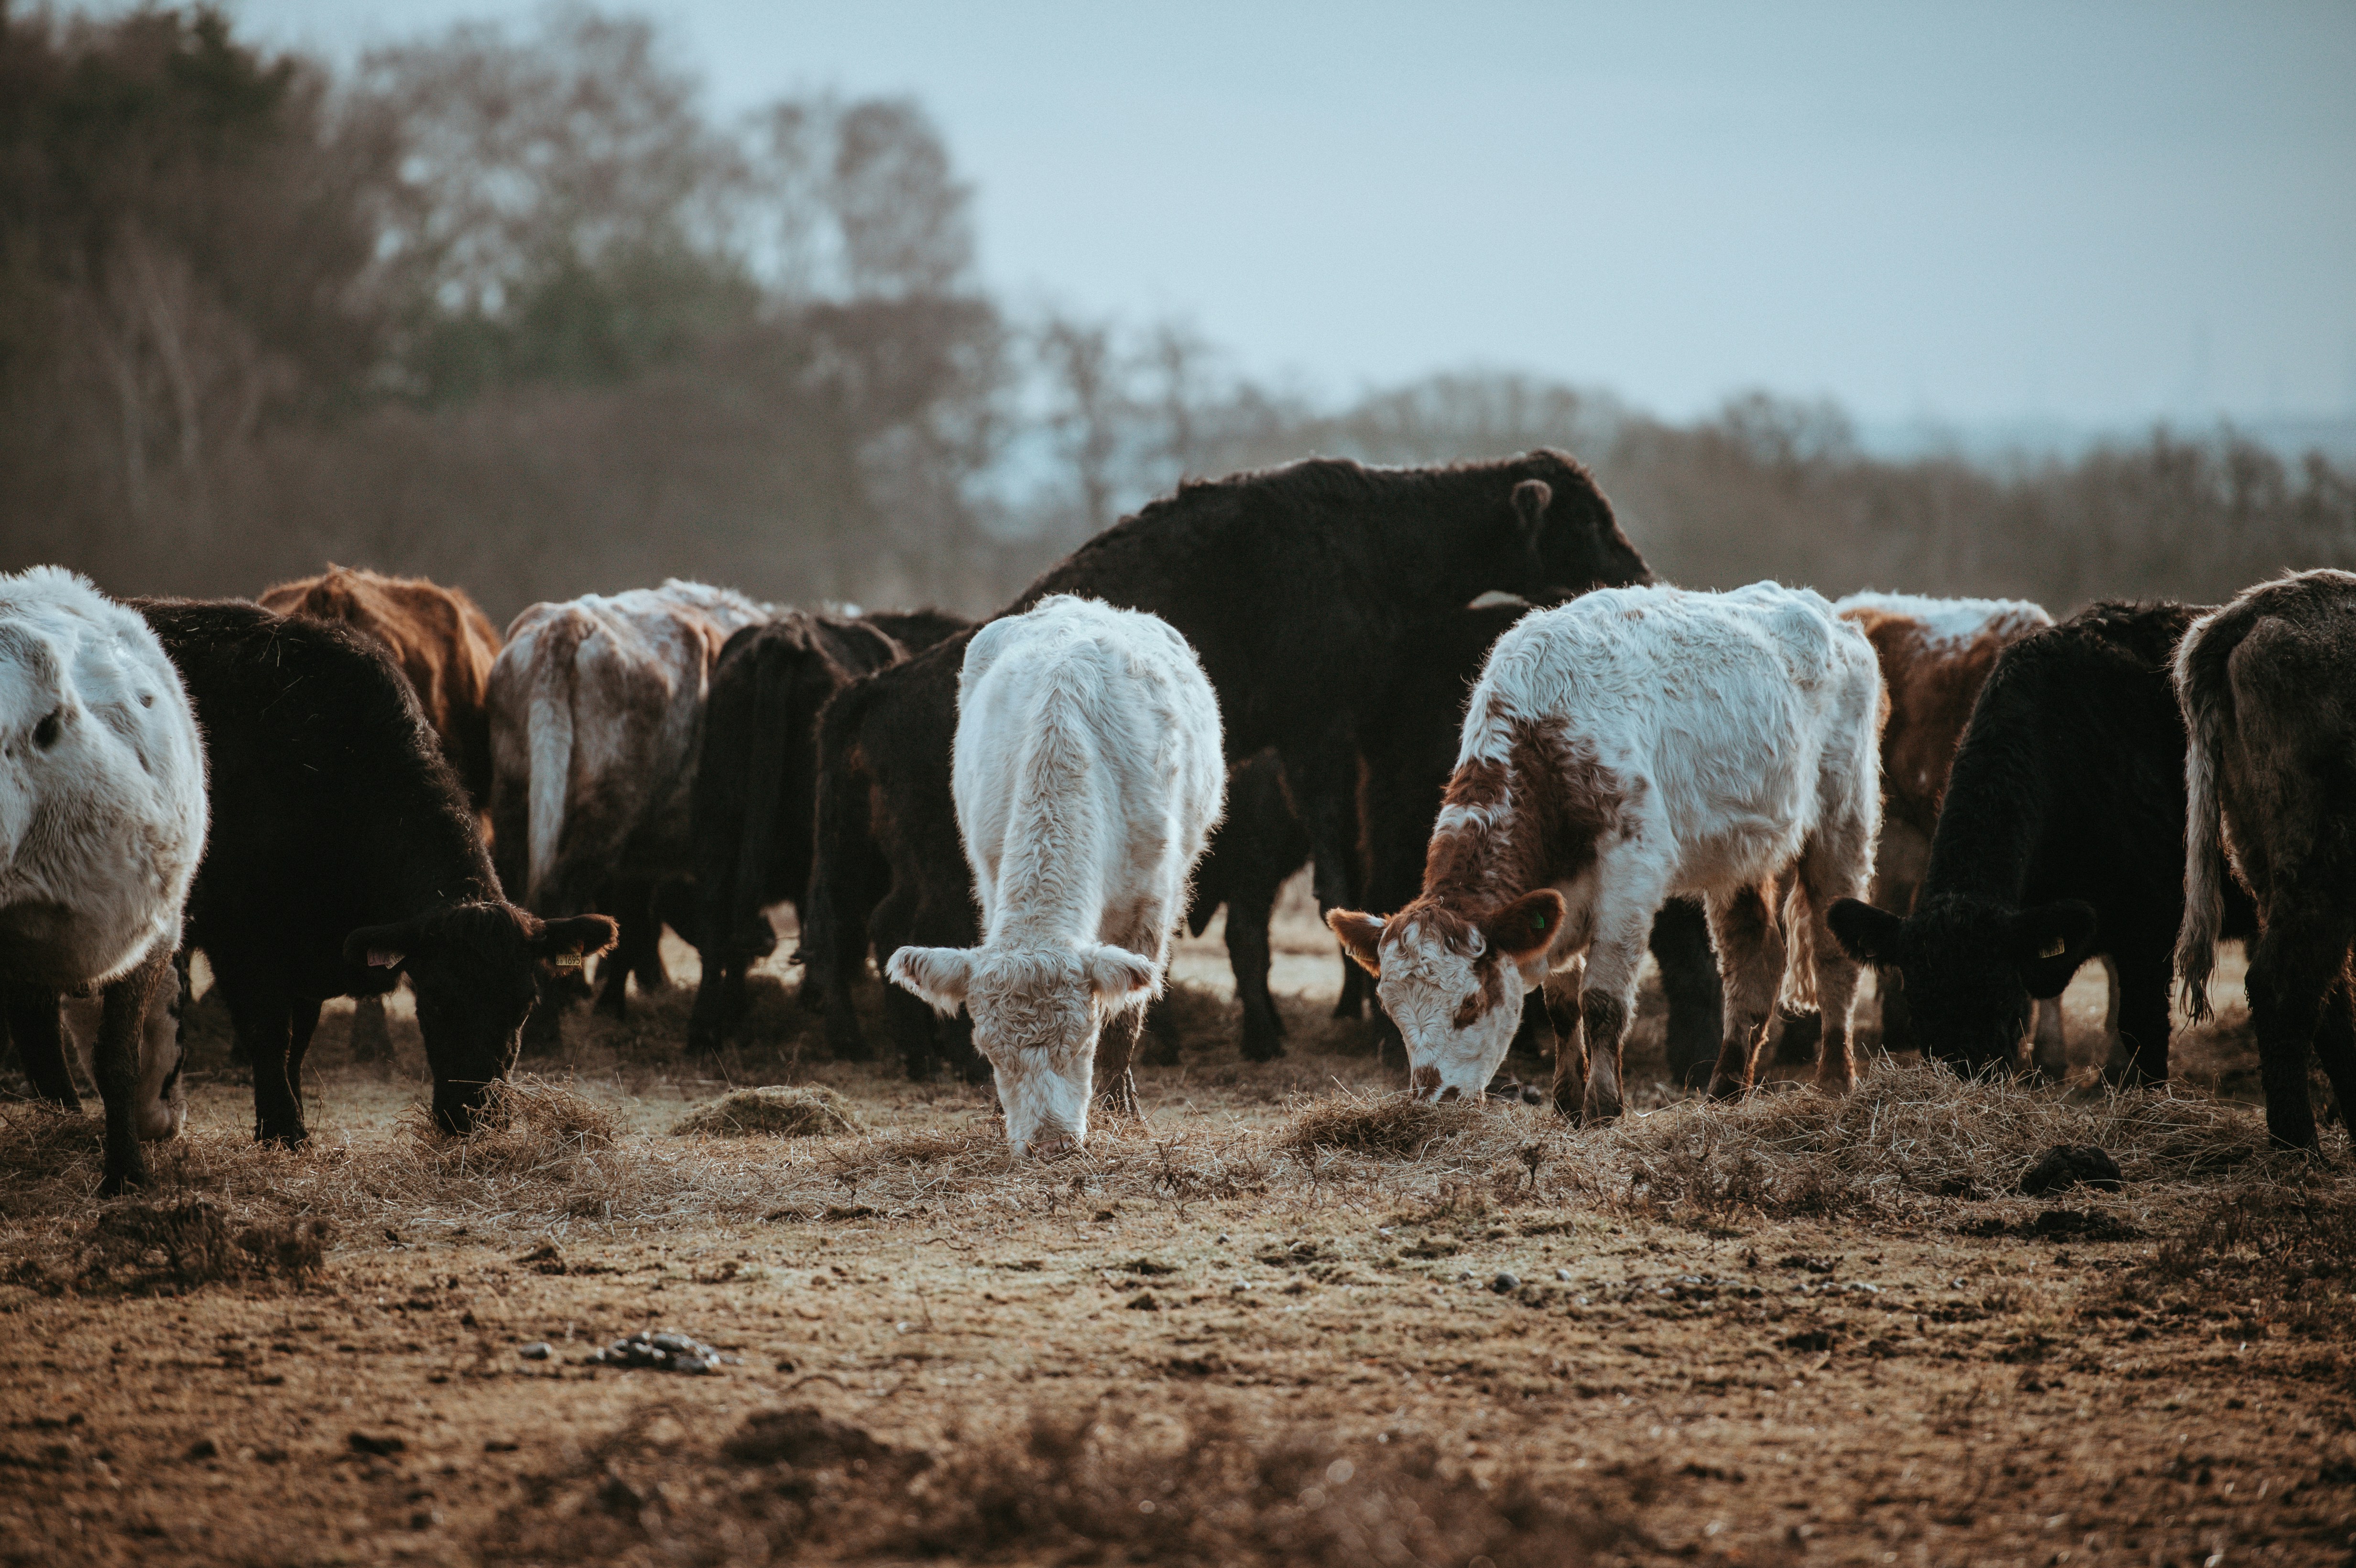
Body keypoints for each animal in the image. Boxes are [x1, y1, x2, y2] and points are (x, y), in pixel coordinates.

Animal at [685, 606, 969, 1054]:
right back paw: (850, 1036)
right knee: (834, 923)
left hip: (719, 828)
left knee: (718, 922)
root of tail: (785, 637)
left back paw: (707, 1028)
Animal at [804, 451, 1655, 1084]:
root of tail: (880, 687)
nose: (1637, 572)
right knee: (904, 928)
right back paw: (933, 1057)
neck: (1374, 534)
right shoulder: (1321, 735)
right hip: (937, 859)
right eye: (1586, 519)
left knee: (884, 926)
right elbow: (1335, 873)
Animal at [884, 597, 1224, 1153]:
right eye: (988, 1052)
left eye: (1081, 1042)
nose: (1049, 1143)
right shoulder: (989, 878)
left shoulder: (1151, 904)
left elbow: (1124, 1021)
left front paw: (1122, 1112)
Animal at [1327, 582, 1883, 1120]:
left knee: (1832, 951)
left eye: (1469, 1004)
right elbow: (1561, 1005)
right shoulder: (1558, 896)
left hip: (1843, 817)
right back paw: (1725, 1089)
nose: (1432, 1100)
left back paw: (1834, 1081)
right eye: (1391, 1008)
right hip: (1740, 854)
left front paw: (1602, 1107)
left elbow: (1600, 1000)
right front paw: (1567, 1102)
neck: (1546, 729)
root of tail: (1834, 619)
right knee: (1753, 957)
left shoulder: (1631, 872)